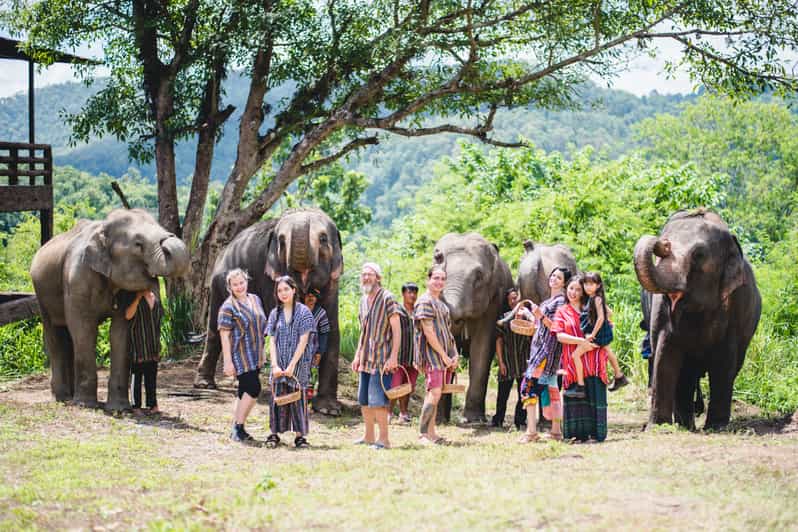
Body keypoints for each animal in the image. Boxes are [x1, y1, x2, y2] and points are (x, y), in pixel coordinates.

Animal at [29, 208, 190, 410]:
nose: (169, 236)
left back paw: (71, 396)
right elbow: (84, 330)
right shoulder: (78, 280)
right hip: (42, 295)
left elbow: (120, 332)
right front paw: (86, 405)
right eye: (138, 244)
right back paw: (64, 398)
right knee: (55, 335)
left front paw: (120, 409)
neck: (103, 229)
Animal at [194, 208, 343, 414]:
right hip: (218, 285)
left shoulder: (333, 281)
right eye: (281, 242)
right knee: (216, 330)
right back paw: (205, 384)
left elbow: (331, 330)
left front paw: (329, 410)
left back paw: (237, 383)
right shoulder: (270, 278)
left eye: (323, 239)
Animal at [432, 232, 513, 423]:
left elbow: (482, 348)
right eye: (435, 272)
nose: (438, 255)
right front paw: (438, 420)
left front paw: (474, 419)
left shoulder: (493, 301)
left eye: (479, 277)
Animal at [634, 208, 761, 430]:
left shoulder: (735, 307)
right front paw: (658, 427)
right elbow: (665, 355)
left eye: (698, 255)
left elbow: (724, 361)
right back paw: (685, 425)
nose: (662, 244)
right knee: (686, 373)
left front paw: (716, 427)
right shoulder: (660, 309)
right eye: (664, 250)